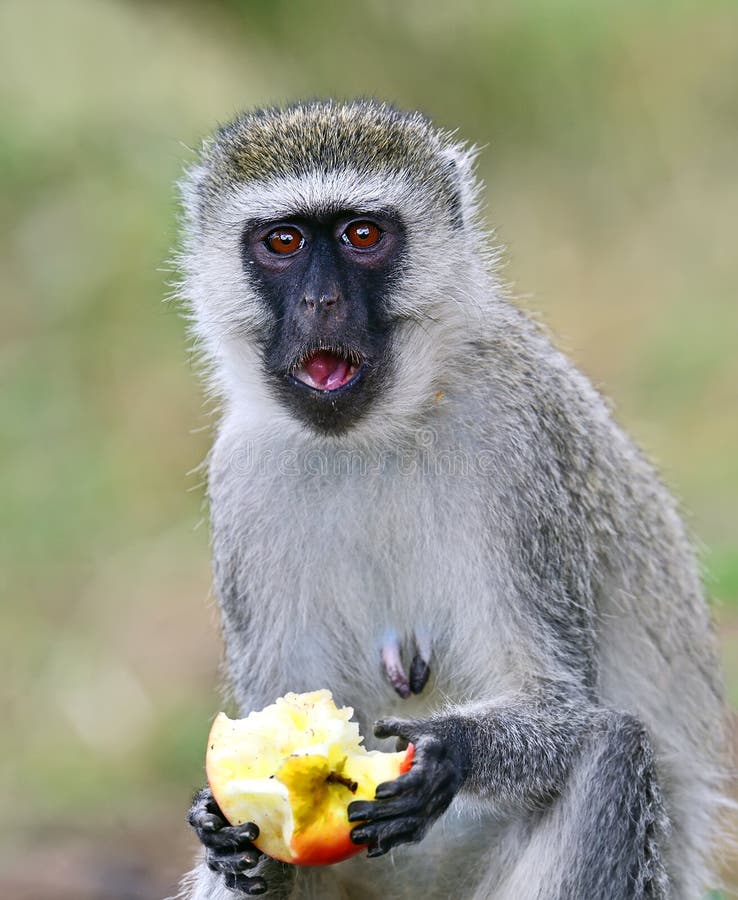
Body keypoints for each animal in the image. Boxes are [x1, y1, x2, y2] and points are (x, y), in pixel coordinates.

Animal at [175, 100, 727, 899]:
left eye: (363, 235)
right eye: (283, 241)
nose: (320, 300)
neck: (376, 433)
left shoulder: (515, 440)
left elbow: (560, 700)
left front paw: (452, 751)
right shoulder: (243, 473)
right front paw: (221, 822)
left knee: (614, 753)